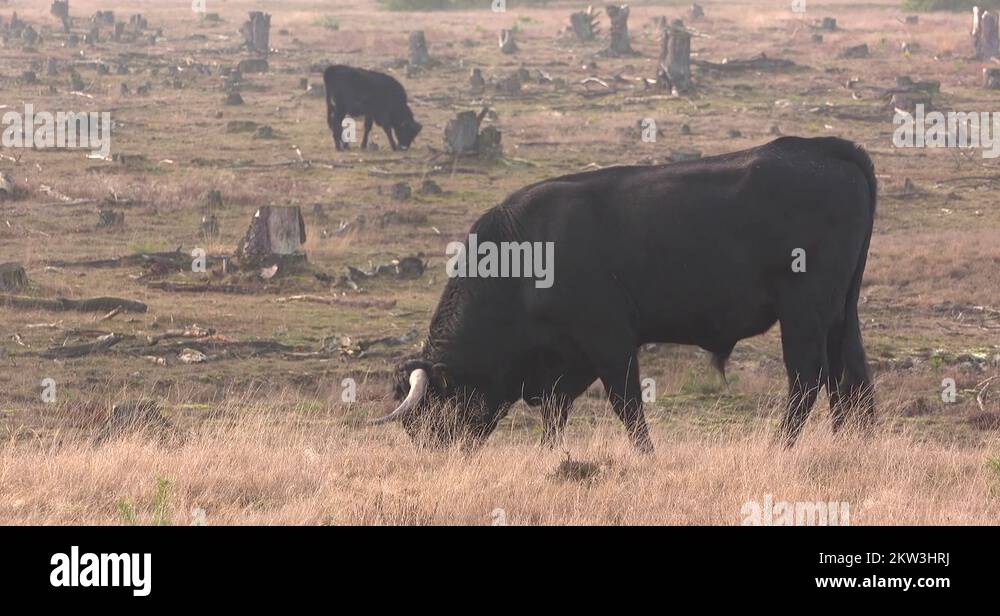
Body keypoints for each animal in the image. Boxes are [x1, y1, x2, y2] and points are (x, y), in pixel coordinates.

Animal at [371, 136, 877, 453]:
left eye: (428, 417)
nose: (435, 456)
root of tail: (826, 149)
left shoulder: (609, 340)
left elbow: (627, 405)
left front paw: (646, 456)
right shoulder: (566, 360)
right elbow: (555, 413)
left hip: (804, 312)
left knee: (808, 380)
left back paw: (780, 447)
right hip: (840, 313)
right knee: (851, 378)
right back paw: (851, 444)